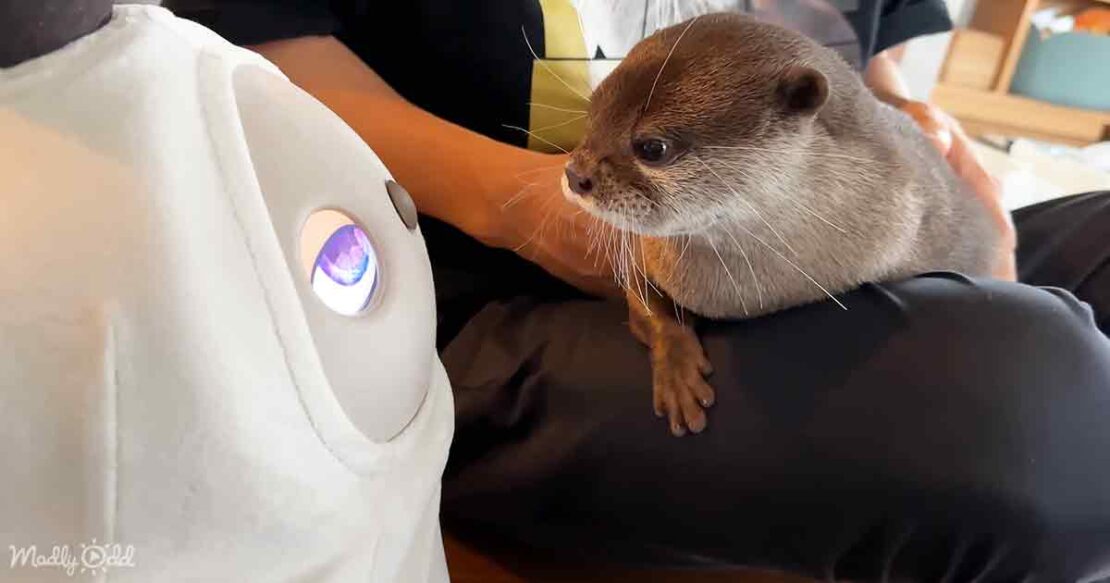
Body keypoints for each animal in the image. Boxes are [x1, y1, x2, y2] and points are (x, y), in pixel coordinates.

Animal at [562, 13, 1000, 437]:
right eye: (591, 118)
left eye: (652, 147)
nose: (574, 174)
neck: (754, 293)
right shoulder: (646, 255)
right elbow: (644, 302)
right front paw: (677, 372)